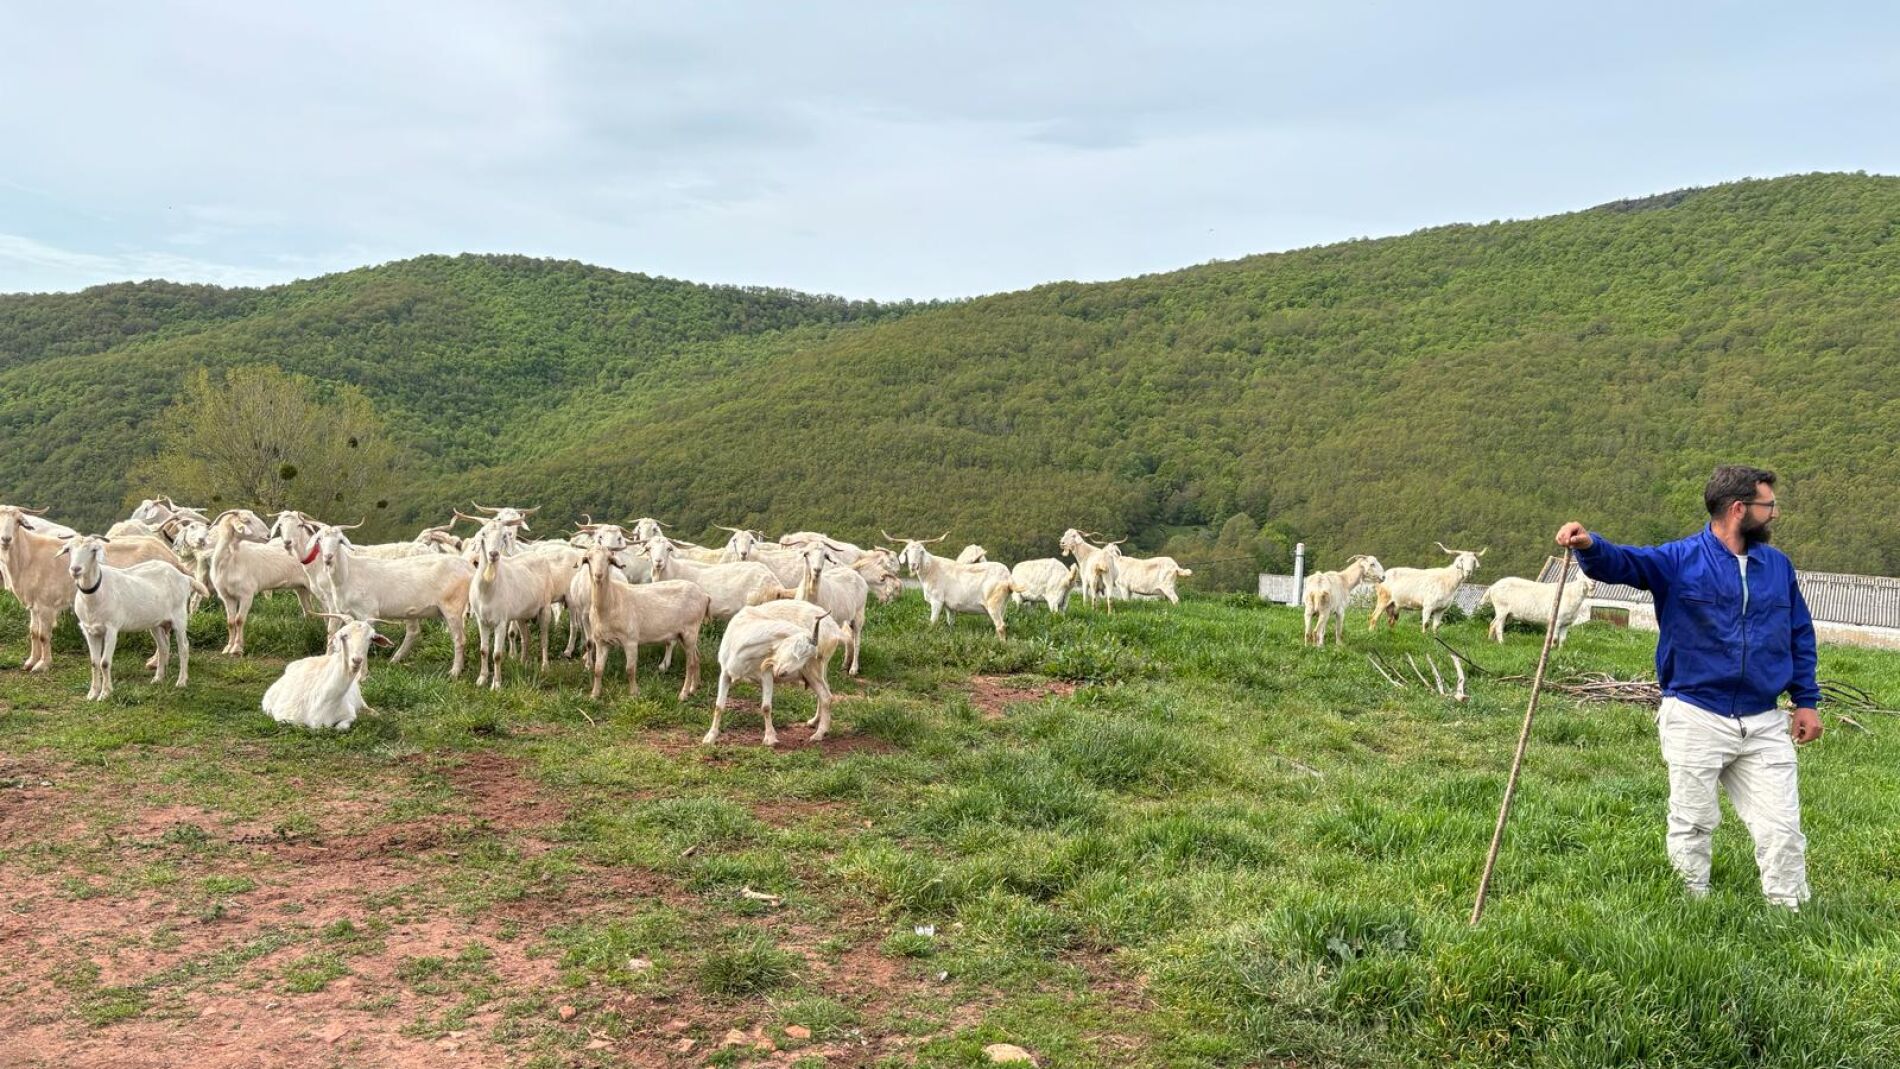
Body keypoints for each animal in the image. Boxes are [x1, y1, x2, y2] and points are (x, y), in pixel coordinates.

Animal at [63, 535, 205, 700]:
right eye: (69, 549)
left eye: (93, 550)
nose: (75, 569)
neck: (96, 594)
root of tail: (183, 577)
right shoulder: (90, 631)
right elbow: (94, 662)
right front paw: (92, 693)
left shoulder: (112, 628)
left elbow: (104, 662)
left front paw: (105, 694)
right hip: (156, 622)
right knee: (163, 647)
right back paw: (158, 678)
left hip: (180, 617)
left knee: (184, 647)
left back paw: (181, 681)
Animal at [261, 615, 395, 730]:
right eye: (344, 635)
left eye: (372, 638)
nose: (357, 660)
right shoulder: (283, 717)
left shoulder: (349, 714)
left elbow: (341, 727)